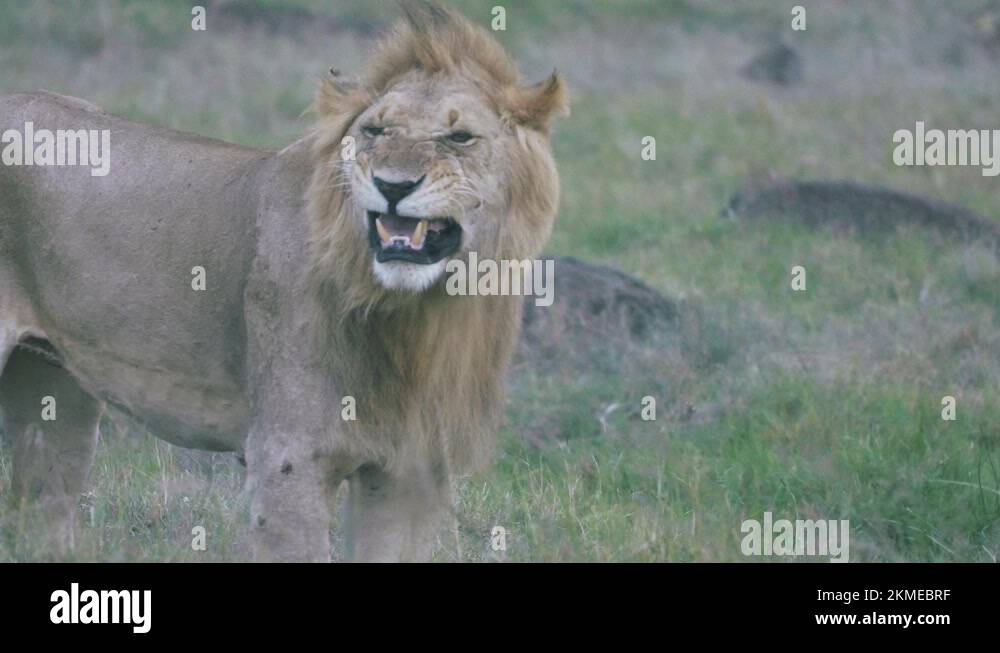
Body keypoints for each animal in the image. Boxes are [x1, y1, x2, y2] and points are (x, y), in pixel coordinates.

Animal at [0, 1, 567, 561]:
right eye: (375, 132)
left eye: (459, 137)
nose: (392, 186)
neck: (416, 314)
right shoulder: (287, 455)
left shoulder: (409, 473)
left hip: (54, 392)